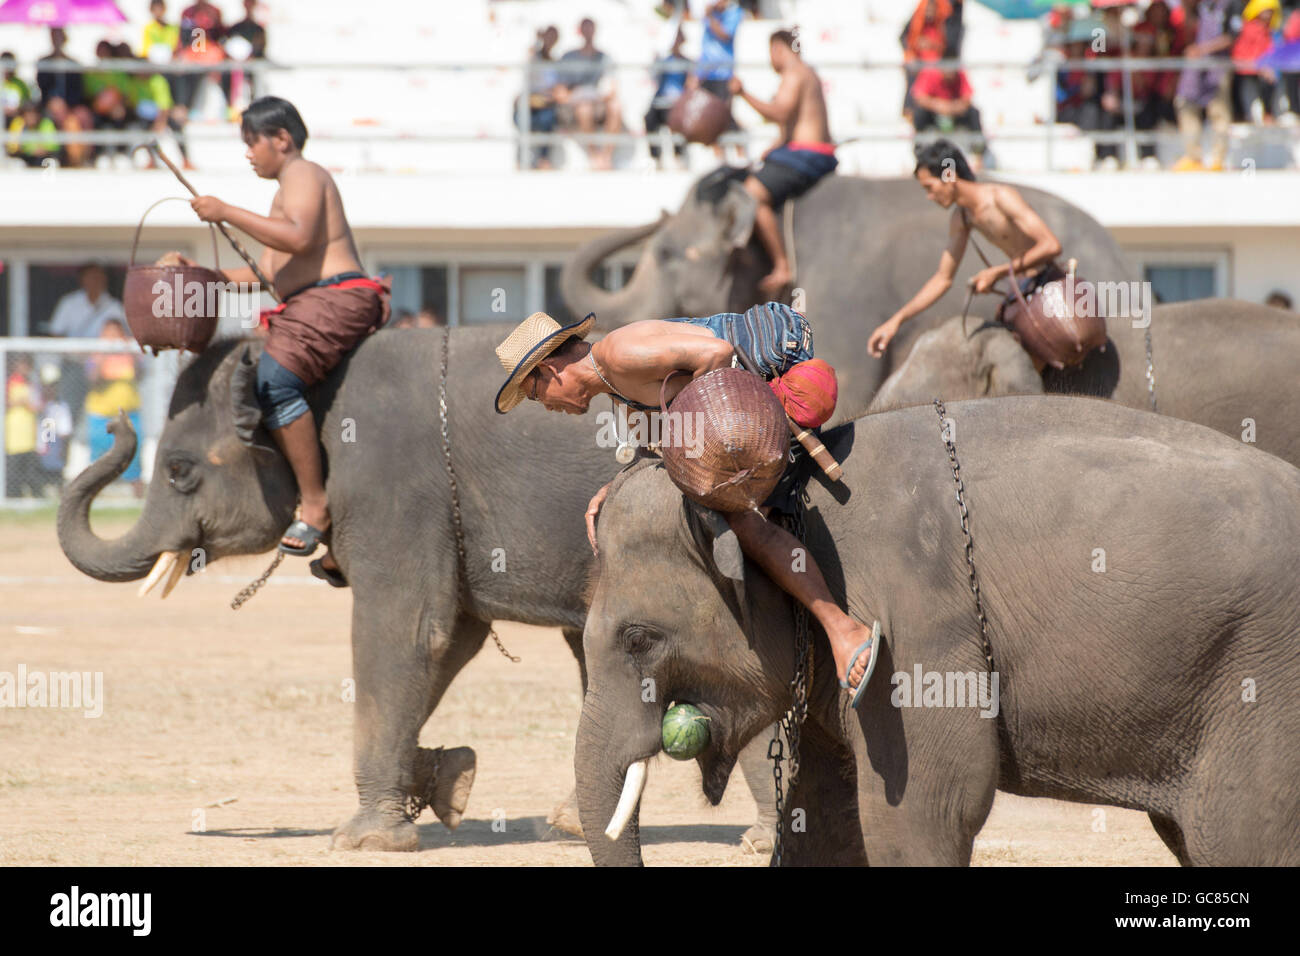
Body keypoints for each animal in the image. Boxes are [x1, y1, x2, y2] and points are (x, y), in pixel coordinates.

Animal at [57, 327, 778, 852]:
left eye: (179, 470)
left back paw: (755, 839)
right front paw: (446, 782)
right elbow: (450, 638)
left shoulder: (392, 489)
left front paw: (363, 841)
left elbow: (405, 632)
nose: (114, 420)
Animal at [577, 396, 1300, 866]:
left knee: (1237, 837)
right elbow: (822, 816)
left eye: (639, 640)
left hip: (1262, 689)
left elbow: (926, 808)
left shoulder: (912, 630)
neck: (794, 502)